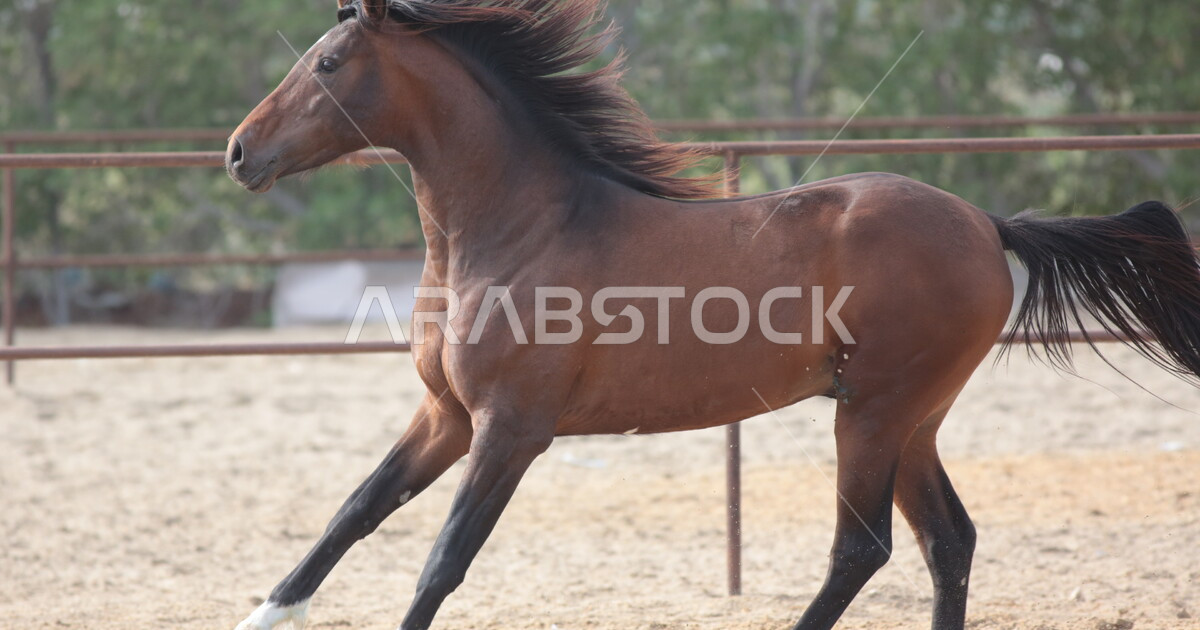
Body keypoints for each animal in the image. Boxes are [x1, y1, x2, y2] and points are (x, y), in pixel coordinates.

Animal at [225, 1, 1200, 629]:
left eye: (327, 63)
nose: (238, 151)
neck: (519, 229)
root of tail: (986, 221)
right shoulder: (447, 415)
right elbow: (352, 513)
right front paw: (264, 611)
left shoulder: (511, 429)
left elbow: (442, 560)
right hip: (915, 421)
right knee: (947, 541)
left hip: (874, 414)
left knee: (863, 550)